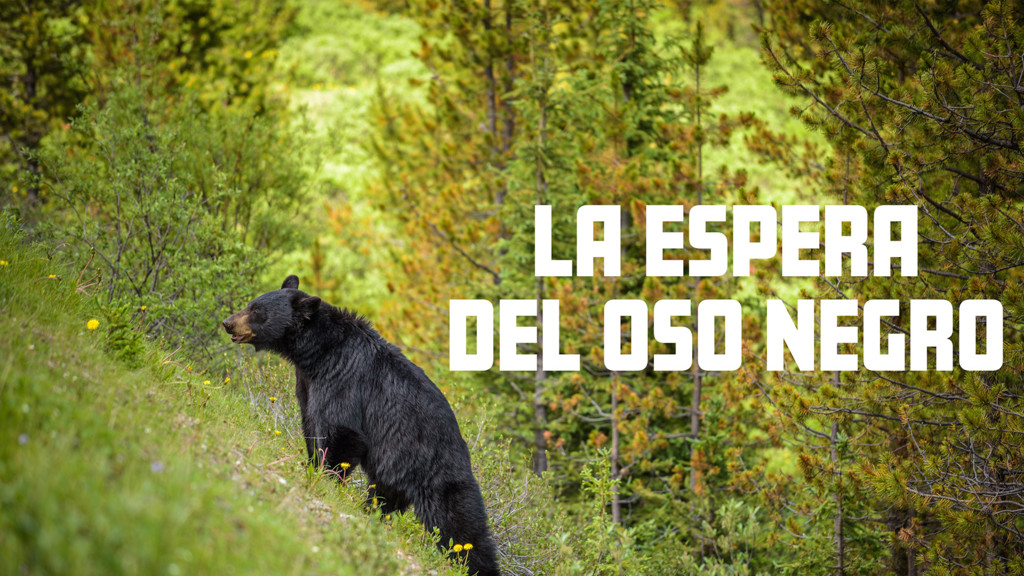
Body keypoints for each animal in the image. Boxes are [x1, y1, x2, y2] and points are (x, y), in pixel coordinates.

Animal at [222, 275, 500, 576]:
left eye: (256, 310)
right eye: (251, 304)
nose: (227, 322)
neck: (316, 353)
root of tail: (465, 451)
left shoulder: (343, 377)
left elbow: (342, 431)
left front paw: (325, 479)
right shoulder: (307, 385)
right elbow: (311, 426)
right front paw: (311, 465)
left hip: (438, 474)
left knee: (461, 527)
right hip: (395, 469)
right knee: (383, 496)